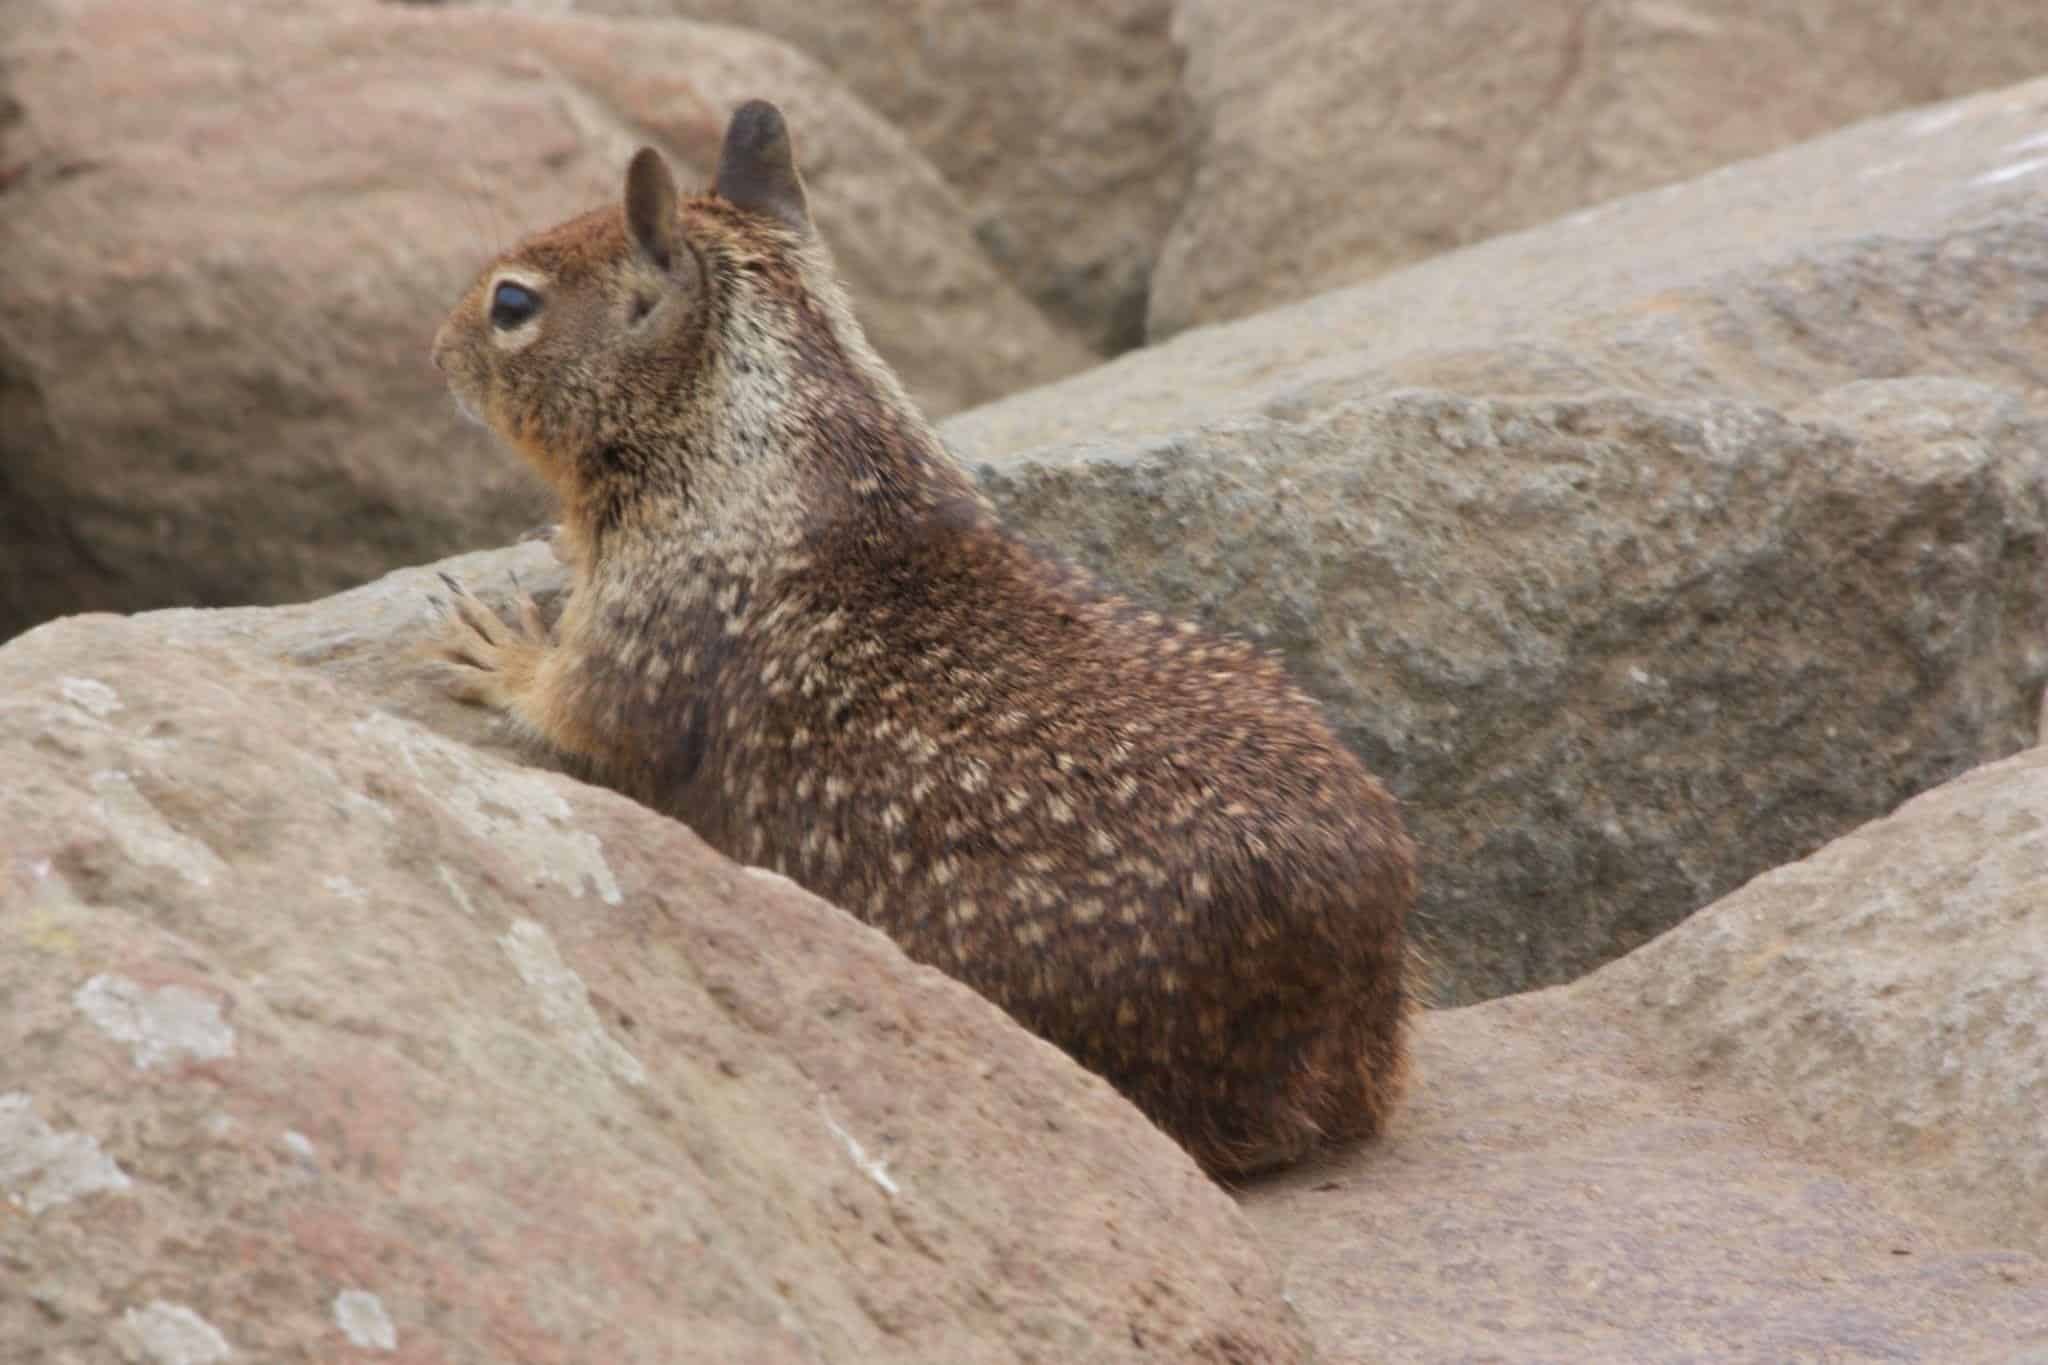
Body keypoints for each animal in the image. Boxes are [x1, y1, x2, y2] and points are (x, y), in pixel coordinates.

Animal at [428, 100, 1418, 1178]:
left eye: (512, 304)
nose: (434, 353)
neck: (774, 440)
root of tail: (1358, 1006)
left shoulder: (649, 619)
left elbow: (576, 704)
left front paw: (494, 646)